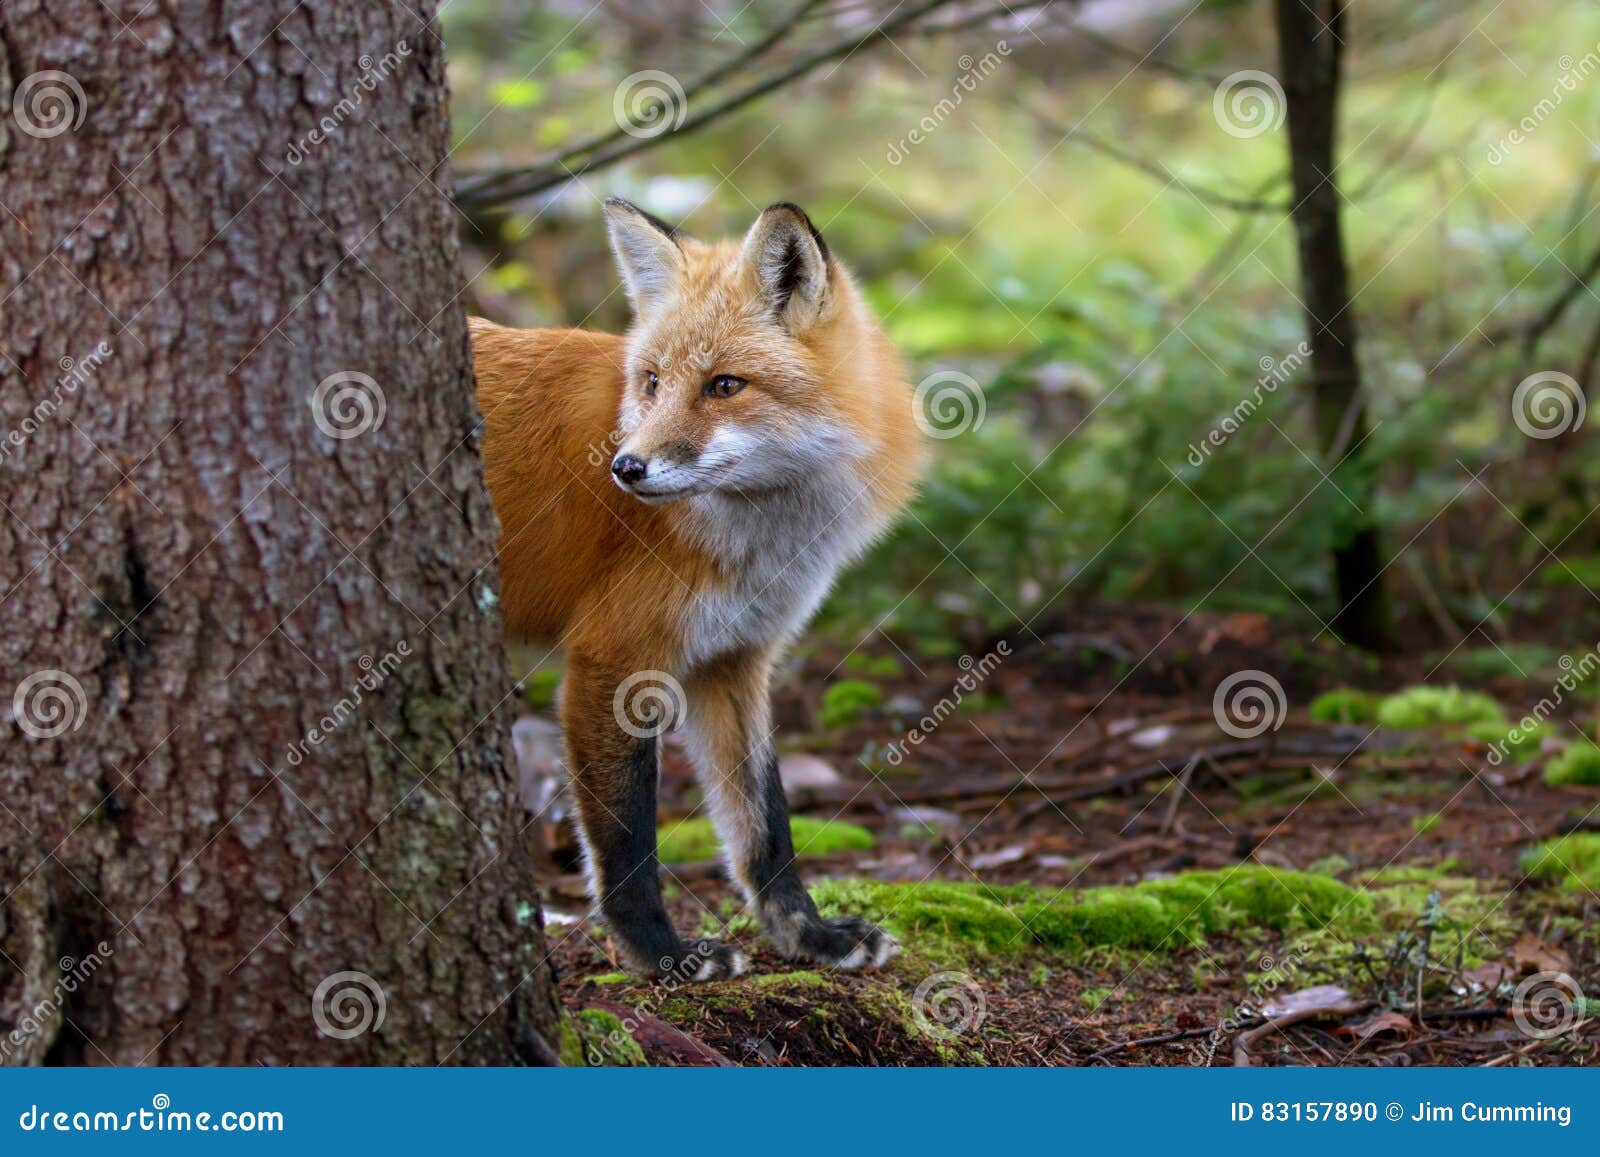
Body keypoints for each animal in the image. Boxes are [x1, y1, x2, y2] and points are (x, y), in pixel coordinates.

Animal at [469, 199, 921, 979]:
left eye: (724, 385)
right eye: (651, 380)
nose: (625, 467)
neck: (759, 539)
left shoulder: (736, 660)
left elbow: (765, 822)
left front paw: (808, 935)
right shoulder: (610, 661)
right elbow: (626, 839)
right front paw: (659, 953)